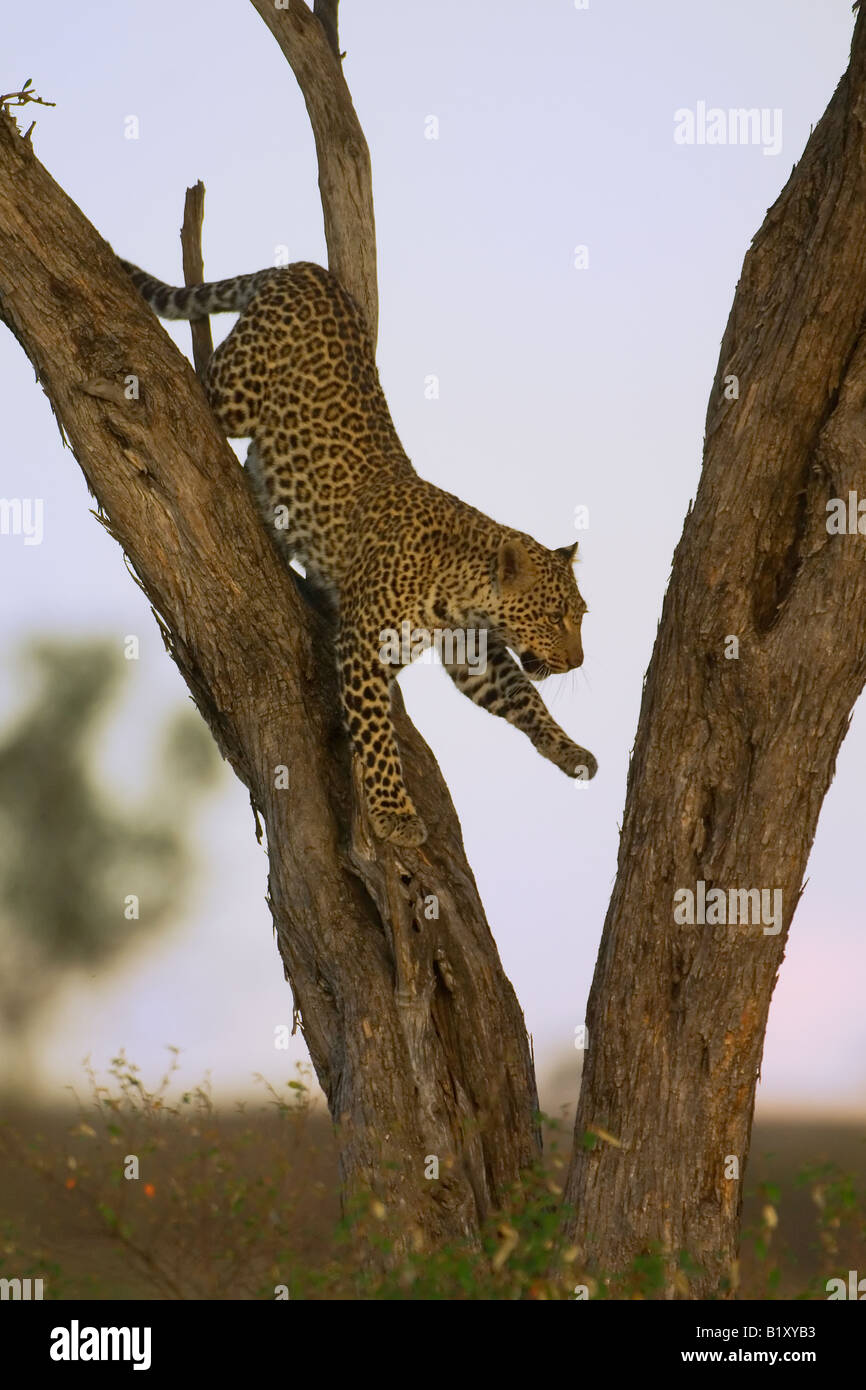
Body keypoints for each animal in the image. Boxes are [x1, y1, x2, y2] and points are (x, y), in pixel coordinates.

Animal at [120, 257, 597, 846]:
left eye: (580, 616)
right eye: (554, 617)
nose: (578, 661)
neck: (464, 587)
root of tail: (305, 267)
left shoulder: (470, 652)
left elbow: (524, 696)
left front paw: (568, 750)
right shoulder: (365, 645)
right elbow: (375, 735)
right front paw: (395, 814)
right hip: (236, 393)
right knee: (196, 382)